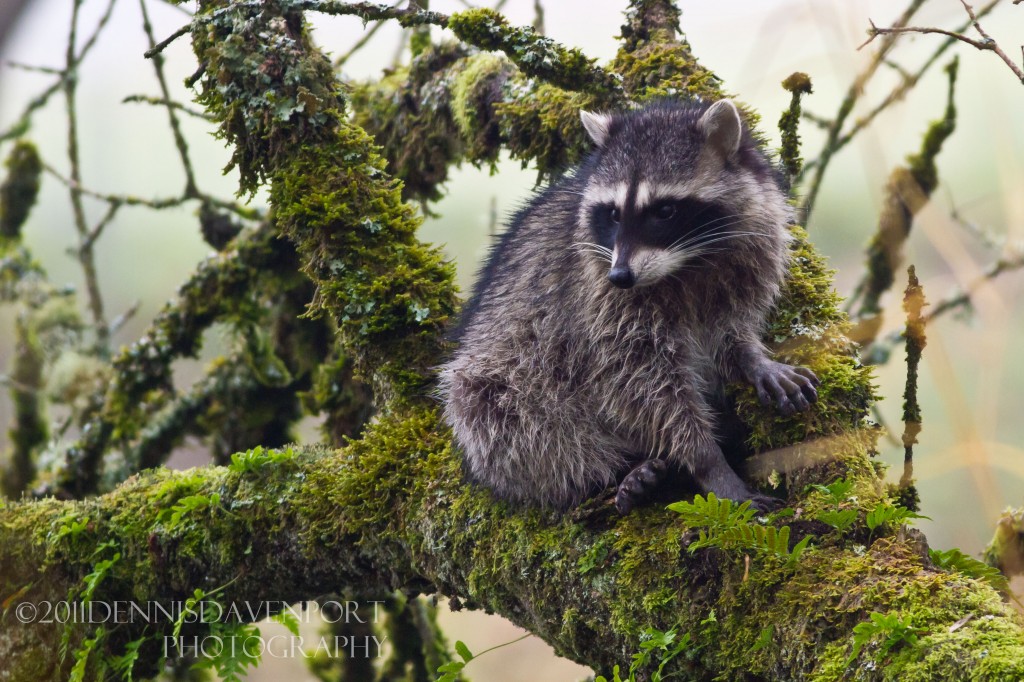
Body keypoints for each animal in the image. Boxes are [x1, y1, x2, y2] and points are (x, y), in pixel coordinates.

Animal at [439, 99, 819, 513]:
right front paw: (708, 462)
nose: (620, 276)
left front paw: (753, 357)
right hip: (502, 380)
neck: (687, 262)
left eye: (665, 210)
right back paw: (620, 471)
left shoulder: (754, 246)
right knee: (504, 420)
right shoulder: (599, 297)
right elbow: (640, 382)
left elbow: (732, 329)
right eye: (614, 213)